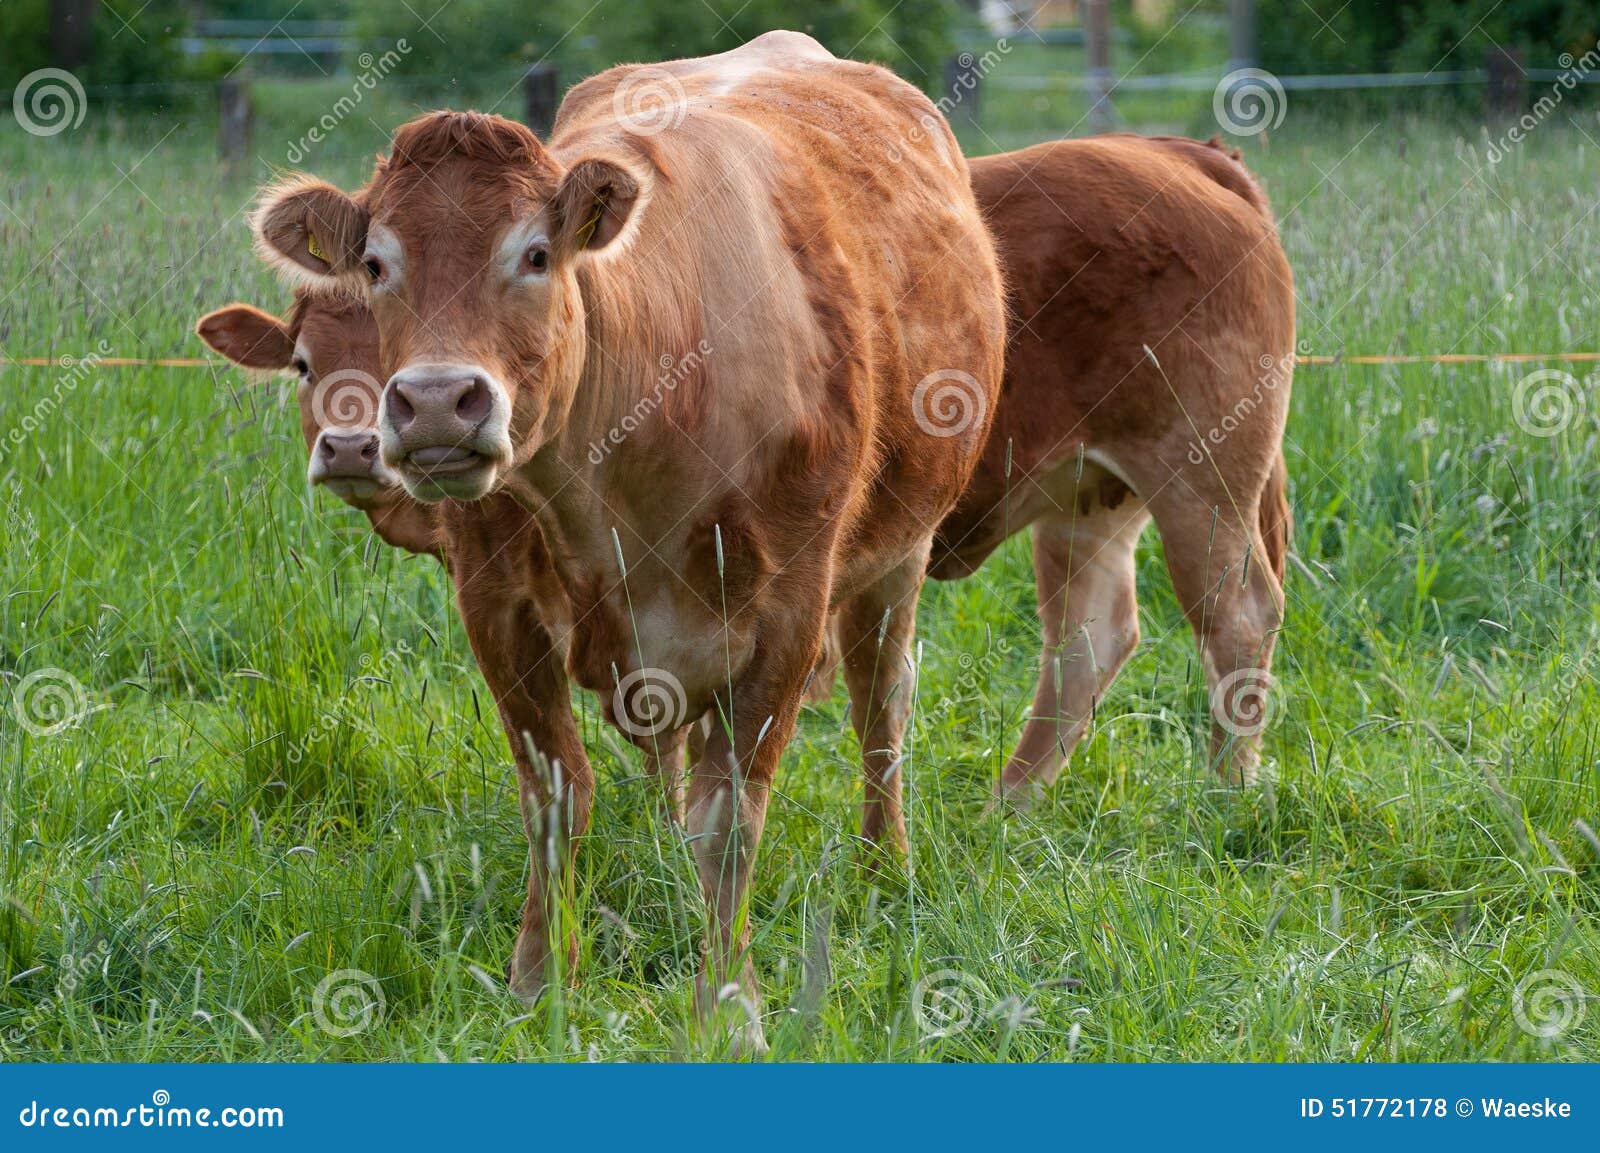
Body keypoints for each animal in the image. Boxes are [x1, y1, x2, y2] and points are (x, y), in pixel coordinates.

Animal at [246, 32, 1007, 1049]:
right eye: (374, 264)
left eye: (534, 254)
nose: (438, 403)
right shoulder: (497, 607)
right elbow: (556, 795)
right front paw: (538, 981)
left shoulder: (787, 611)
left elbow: (732, 815)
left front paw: (729, 1004)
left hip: (900, 555)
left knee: (880, 706)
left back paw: (886, 867)